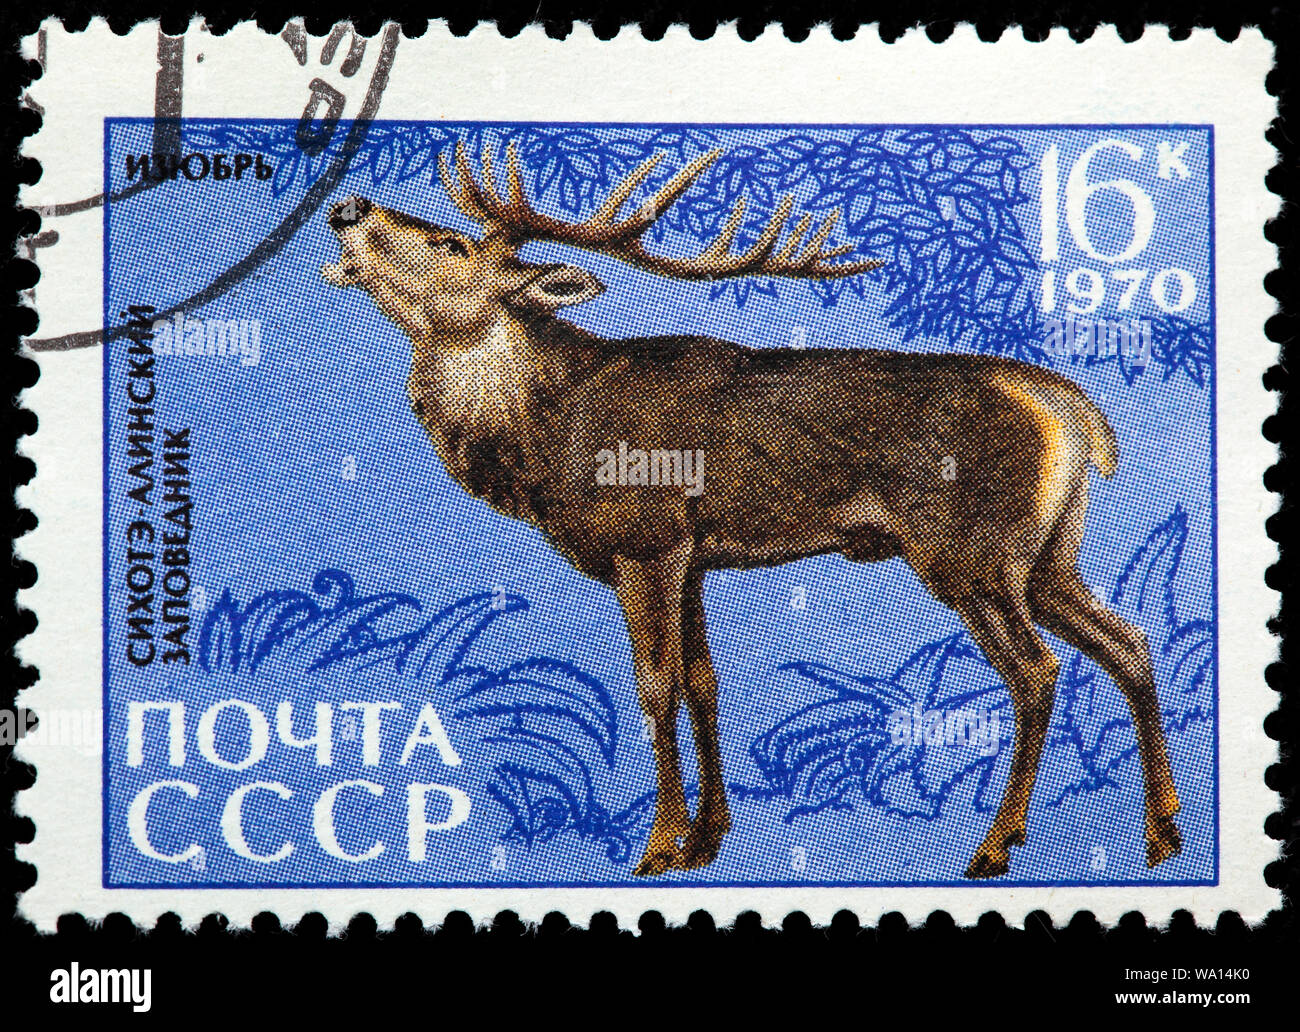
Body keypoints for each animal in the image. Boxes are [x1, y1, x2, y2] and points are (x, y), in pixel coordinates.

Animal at [320, 143, 1182, 879]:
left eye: (451, 246)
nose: (350, 206)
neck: (548, 433)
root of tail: (1073, 410)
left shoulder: (648, 540)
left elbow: (655, 685)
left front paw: (659, 845)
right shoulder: (696, 557)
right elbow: (704, 681)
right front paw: (708, 839)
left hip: (970, 549)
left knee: (1037, 670)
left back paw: (997, 845)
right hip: (1049, 553)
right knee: (1128, 641)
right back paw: (1163, 830)